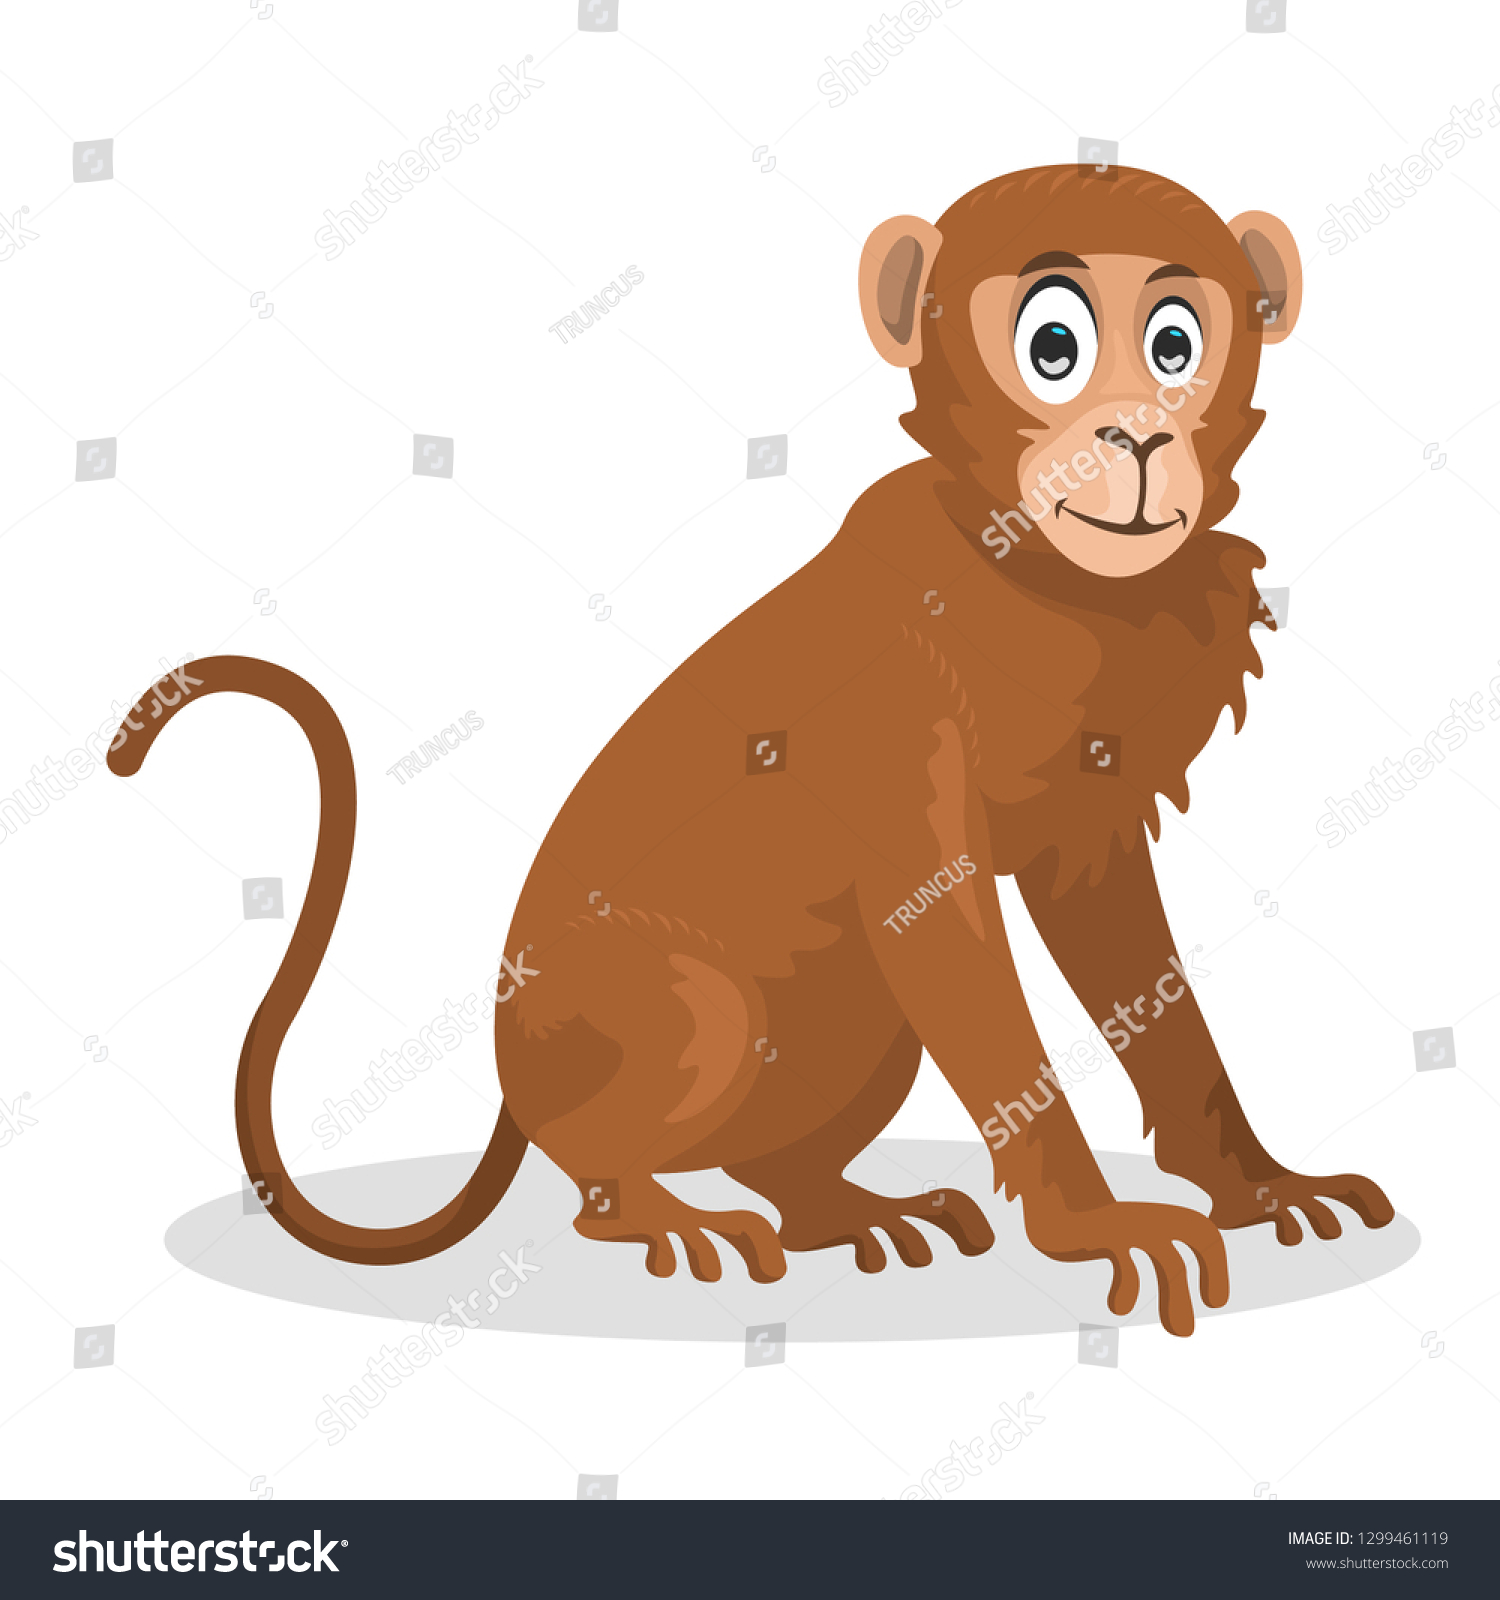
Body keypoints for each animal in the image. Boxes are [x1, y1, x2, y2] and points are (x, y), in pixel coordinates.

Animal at [111, 165, 1392, 1337]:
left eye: (1176, 342)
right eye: (1054, 345)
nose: (1134, 434)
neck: (1051, 583)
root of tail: (514, 1082)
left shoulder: (1095, 811)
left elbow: (1151, 991)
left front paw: (1258, 1186)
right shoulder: (902, 728)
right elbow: (958, 953)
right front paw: (1096, 1227)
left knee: (790, 1133)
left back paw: (841, 1207)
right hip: (666, 1022)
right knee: (659, 1094)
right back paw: (656, 1212)